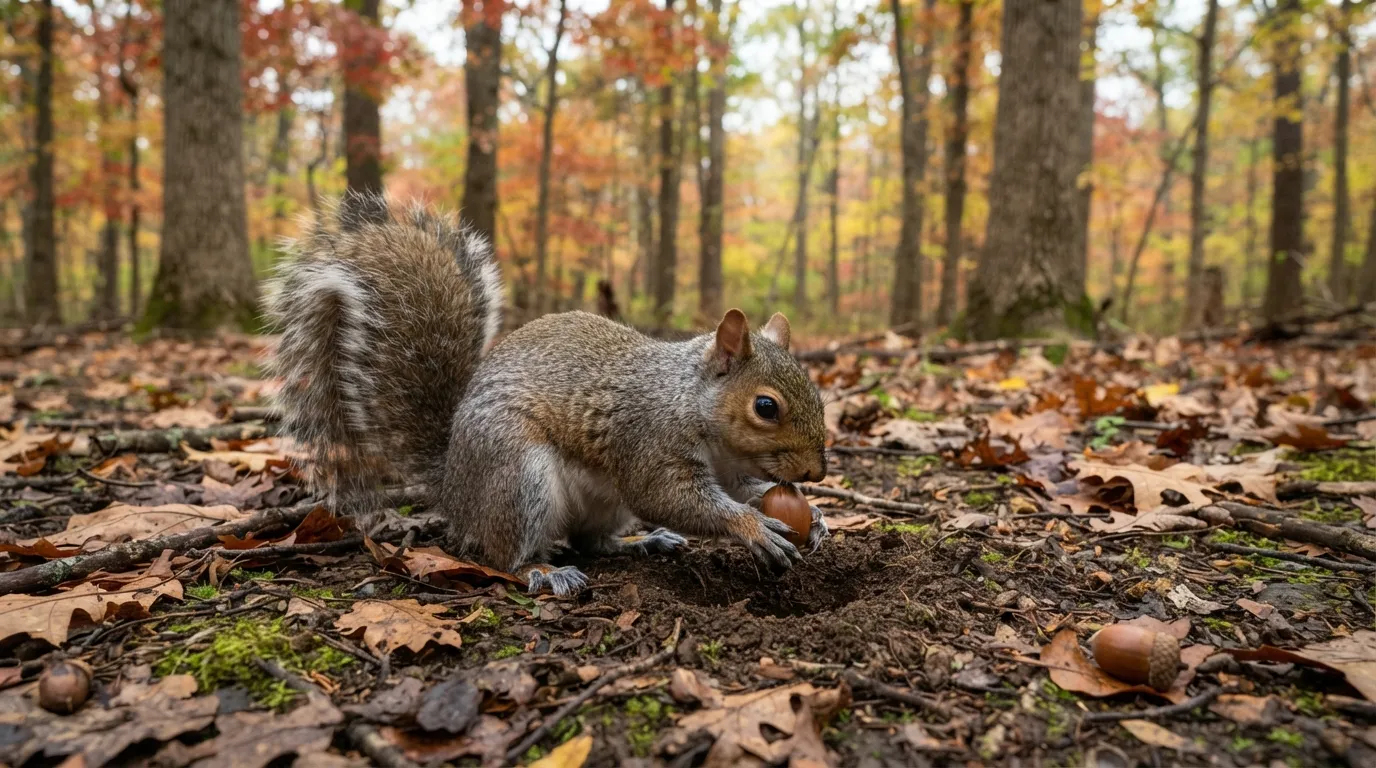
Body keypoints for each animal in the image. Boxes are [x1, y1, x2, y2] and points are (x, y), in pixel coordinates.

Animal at [266, 193, 829, 595]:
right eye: (765, 407)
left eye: (820, 398)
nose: (817, 473)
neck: (690, 401)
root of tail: (453, 485)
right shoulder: (649, 439)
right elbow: (669, 497)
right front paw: (753, 527)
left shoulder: (731, 468)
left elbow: (743, 489)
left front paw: (814, 517)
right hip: (518, 474)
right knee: (505, 556)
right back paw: (542, 571)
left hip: (600, 503)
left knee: (591, 542)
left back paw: (642, 541)